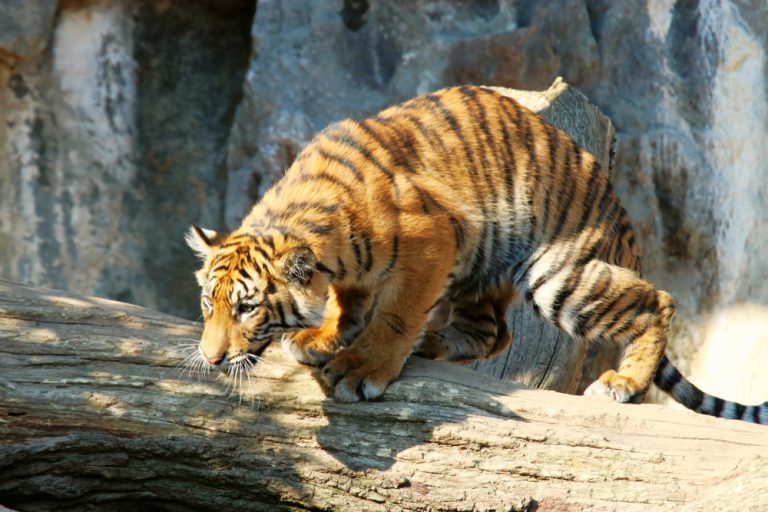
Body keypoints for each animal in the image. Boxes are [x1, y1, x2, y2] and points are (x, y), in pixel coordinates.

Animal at [186, 85, 768, 424]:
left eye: (247, 308)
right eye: (208, 304)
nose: (210, 359)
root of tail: (622, 217)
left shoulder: (431, 239)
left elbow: (395, 314)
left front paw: (360, 369)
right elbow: (348, 303)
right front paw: (324, 337)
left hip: (558, 272)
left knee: (657, 301)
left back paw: (622, 384)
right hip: (483, 266)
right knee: (494, 333)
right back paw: (432, 343)